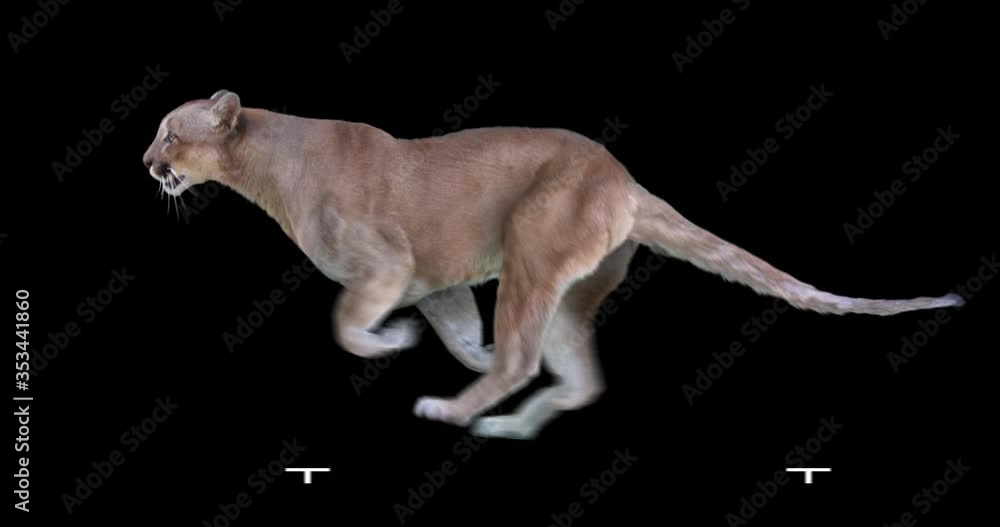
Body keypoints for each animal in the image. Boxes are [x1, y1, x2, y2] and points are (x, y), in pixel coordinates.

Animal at [142, 90, 962, 439]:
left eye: (171, 133)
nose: (147, 162)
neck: (269, 165)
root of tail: (625, 179)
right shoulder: (431, 281)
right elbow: (454, 329)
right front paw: (449, 347)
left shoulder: (386, 265)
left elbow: (347, 325)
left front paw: (393, 343)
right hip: (571, 289)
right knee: (576, 376)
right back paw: (507, 424)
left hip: (533, 253)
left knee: (525, 358)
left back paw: (454, 410)